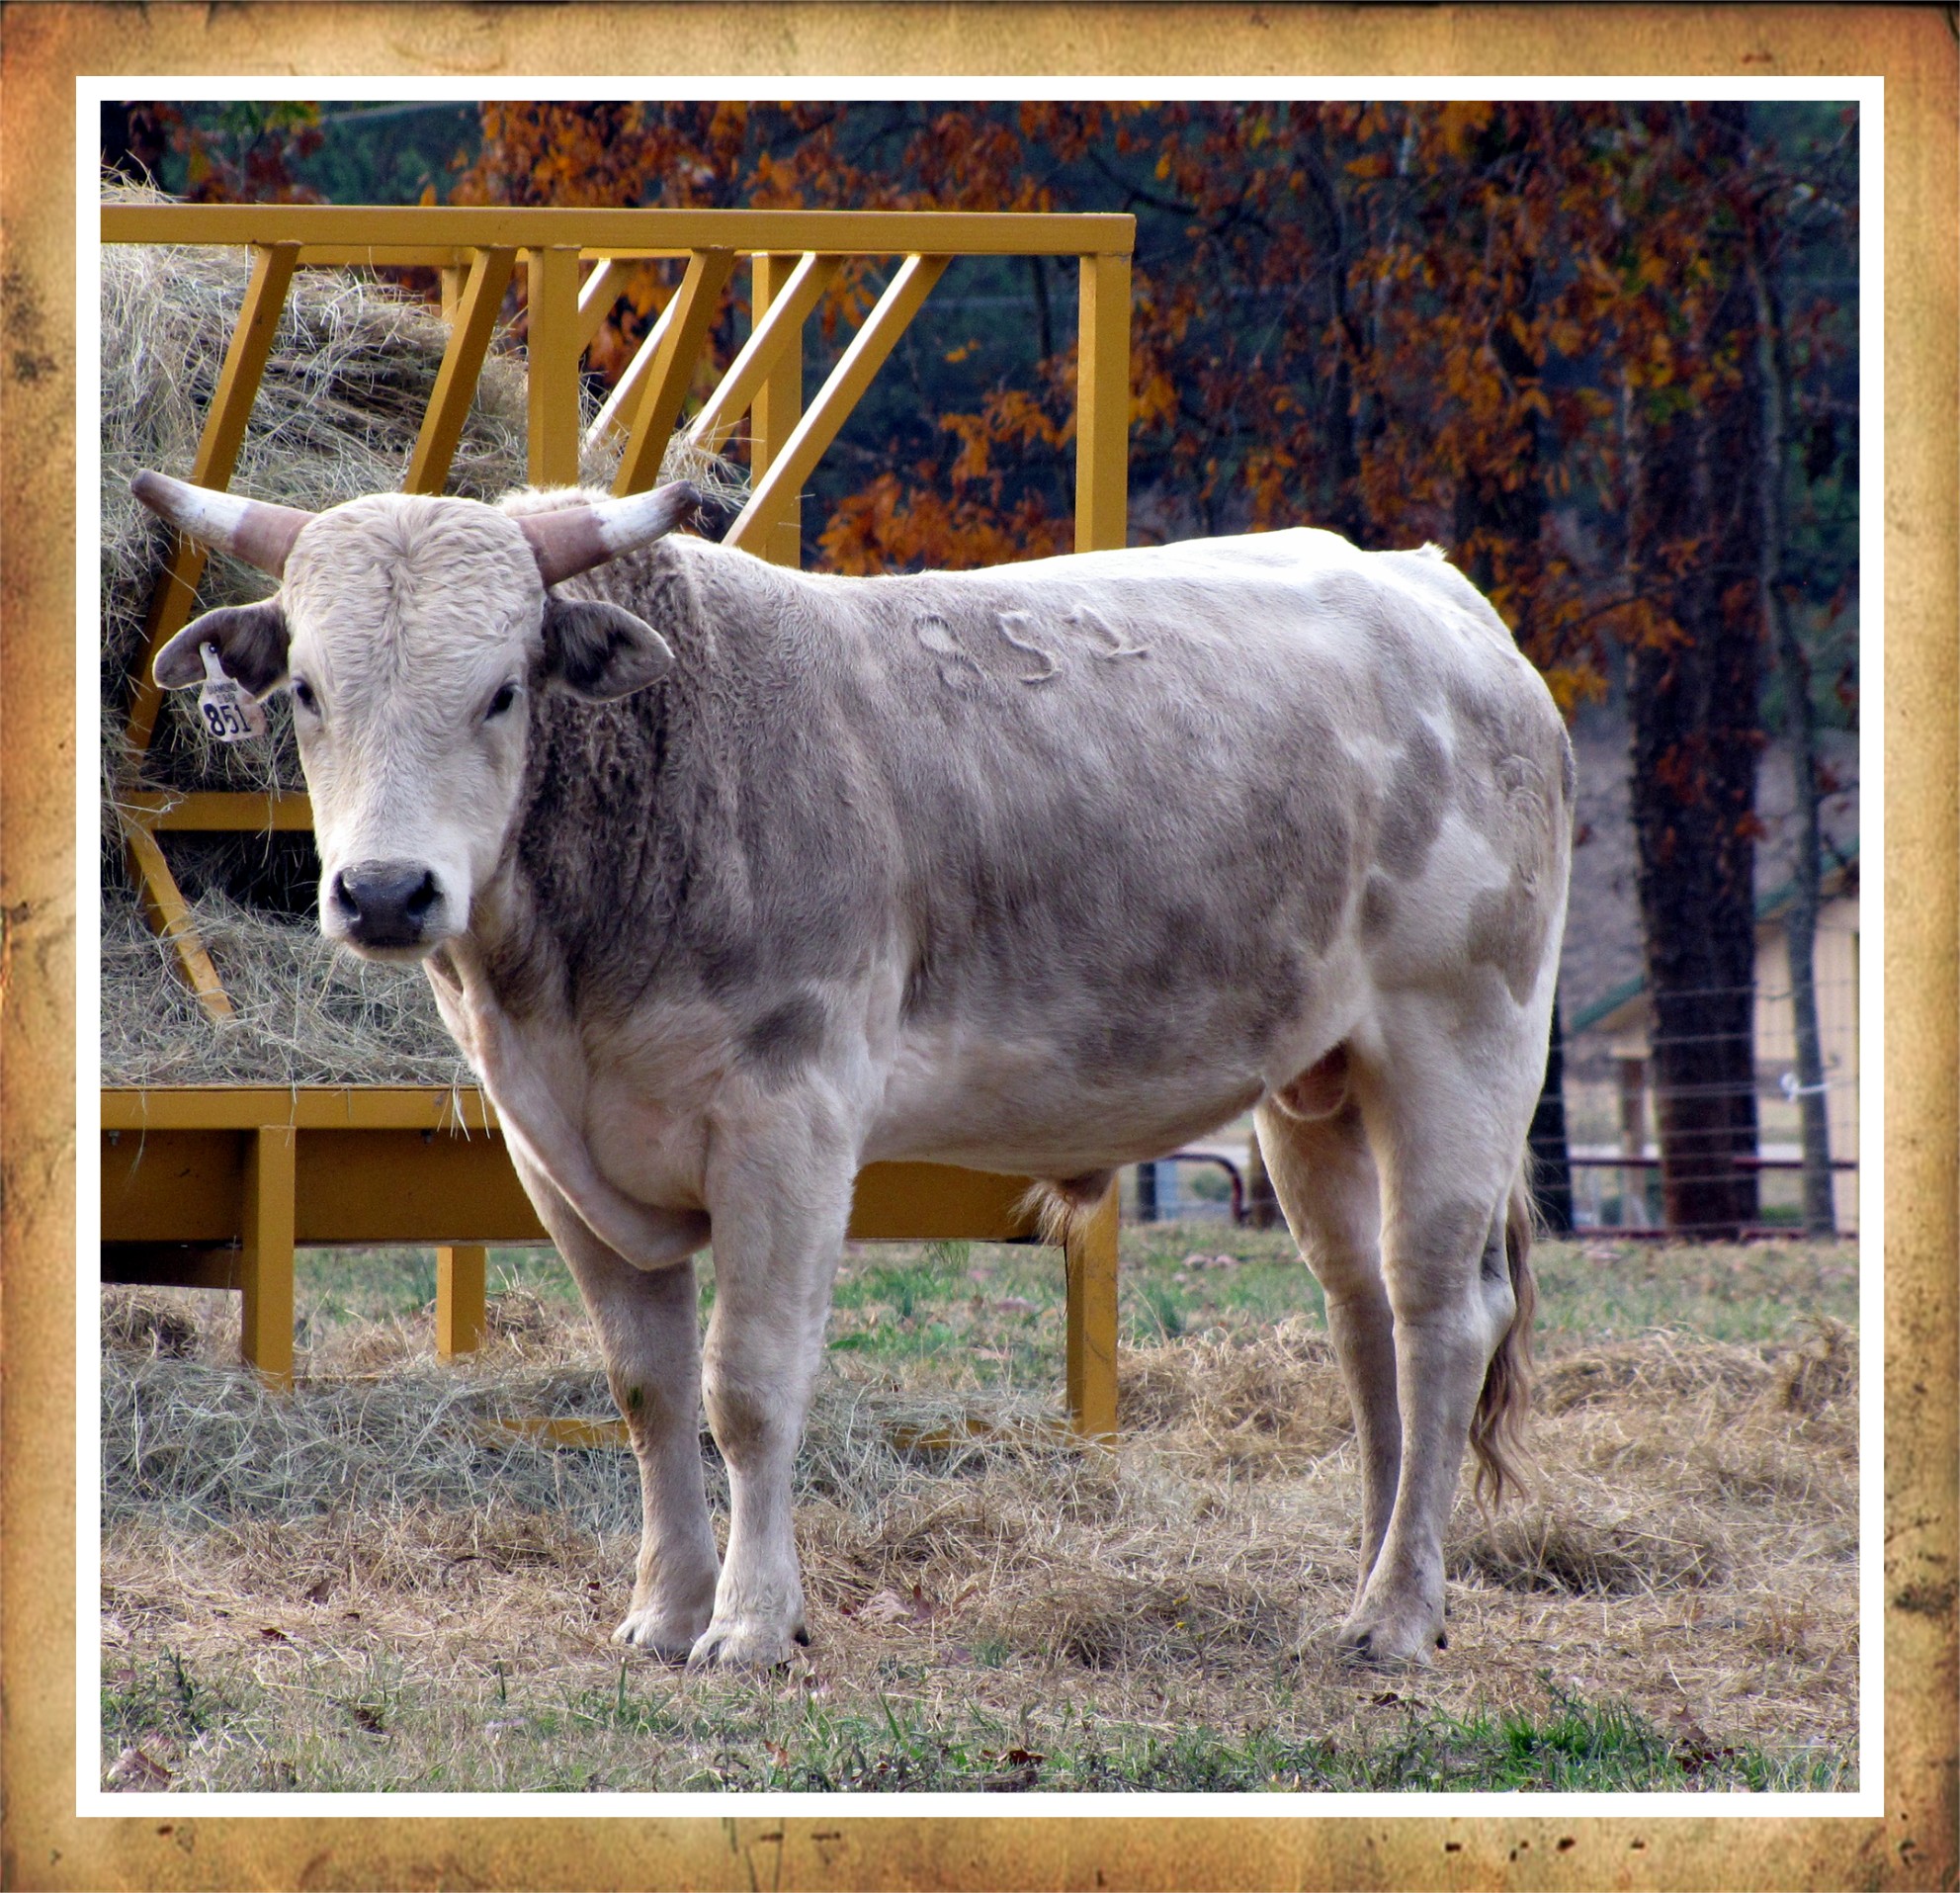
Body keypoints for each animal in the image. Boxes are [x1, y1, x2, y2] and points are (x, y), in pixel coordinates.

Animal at [133, 468, 1573, 1670]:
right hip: (1314, 1089)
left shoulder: (789, 1128)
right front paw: (664, 1611)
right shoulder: (559, 1160)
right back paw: (1374, 1581)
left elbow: (748, 1386)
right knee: (1363, 1318)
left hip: (1461, 1041)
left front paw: (752, 1621)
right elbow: (649, 1388)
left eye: (501, 690)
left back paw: (1400, 1611)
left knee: (1441, 1312)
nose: (384, 891)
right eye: (308, 691)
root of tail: (1437, 598)